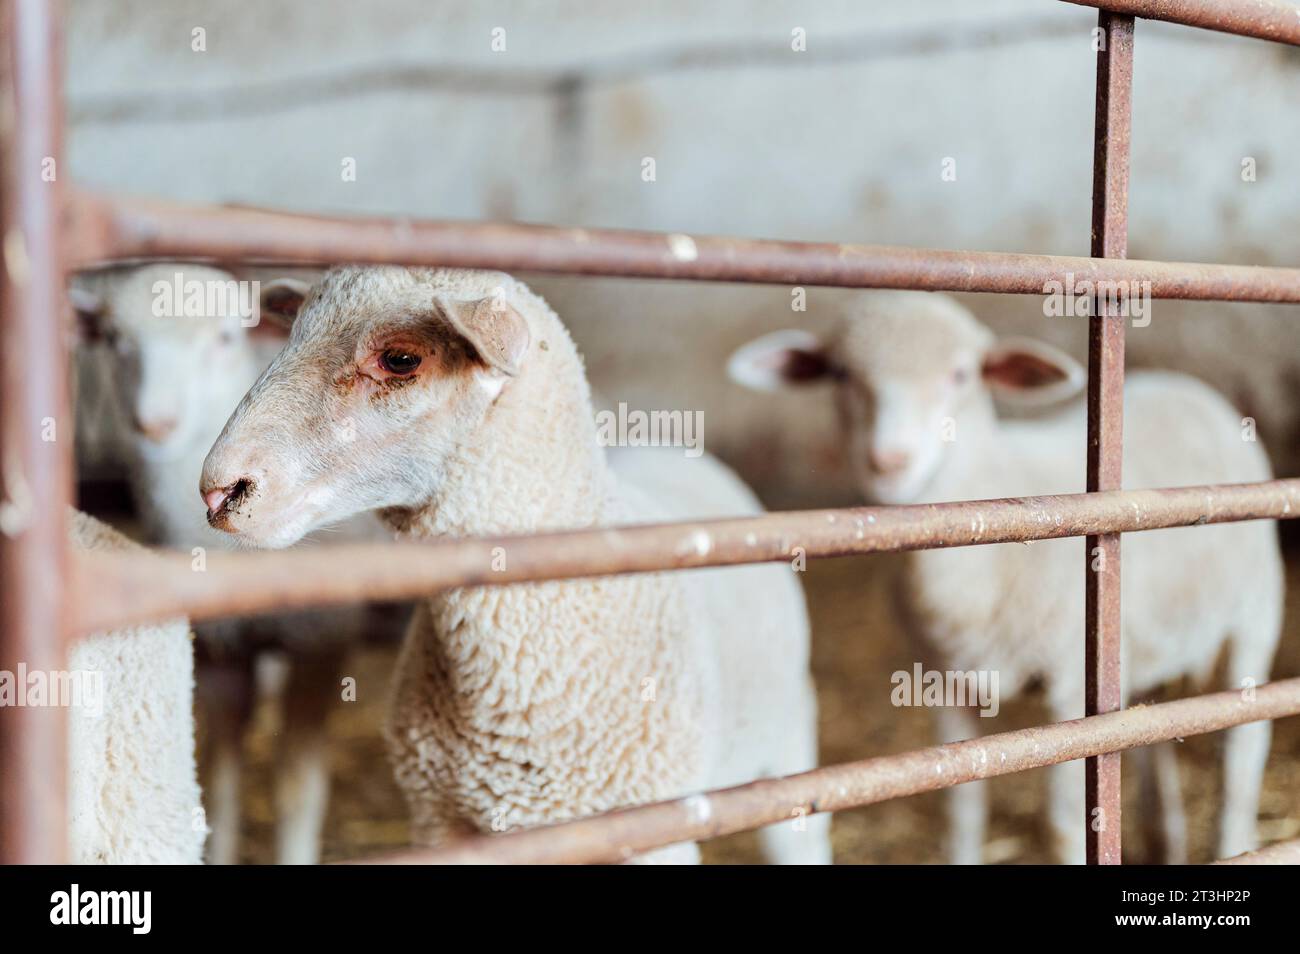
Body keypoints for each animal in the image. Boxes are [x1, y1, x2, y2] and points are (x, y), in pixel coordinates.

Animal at [729, 290, 1283, 864]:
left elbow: (1063, 824)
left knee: (1241, 742)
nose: (889, 461)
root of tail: (1190, 386)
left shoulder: (1072, 686)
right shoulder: (944, 681)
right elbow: (962, 811)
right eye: (840, 373)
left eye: (960, 375)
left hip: (1257, 607)